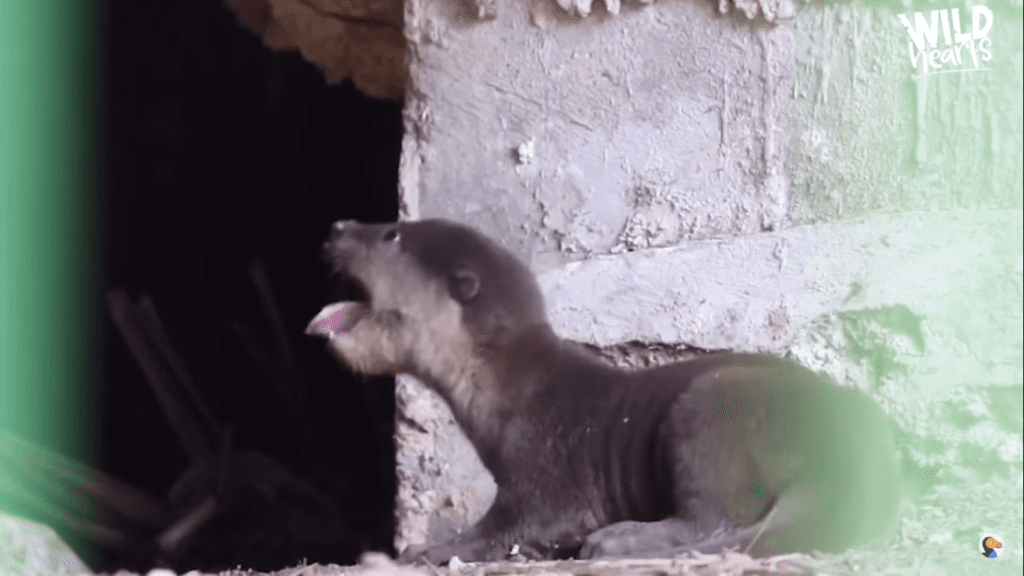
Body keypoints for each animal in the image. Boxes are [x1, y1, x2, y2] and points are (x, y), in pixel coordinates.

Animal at [306, 219, 900, 564]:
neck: (512, 390)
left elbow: (512, 528)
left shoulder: (545, 472)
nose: (337, 225)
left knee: (716, 518)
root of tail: (854, 463)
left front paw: (423, 550)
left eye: (391, 235)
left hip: (714, 406)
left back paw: (618, 541)